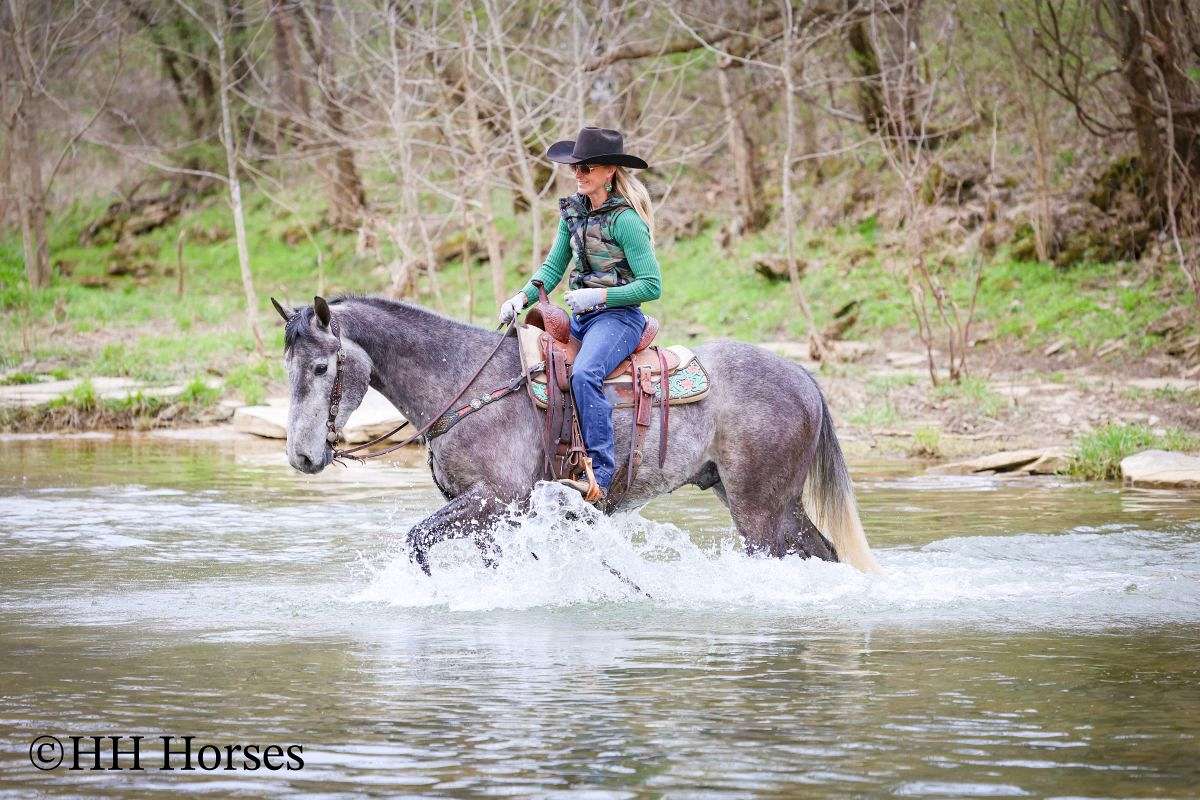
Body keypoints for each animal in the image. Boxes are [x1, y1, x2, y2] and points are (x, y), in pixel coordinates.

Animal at [273, 294, 881, 575]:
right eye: (287, 367)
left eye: (323, 367)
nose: (302, 456)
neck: (466, 381)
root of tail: (800, 375)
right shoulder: (484, 512)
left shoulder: (496, 499)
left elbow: (418, 539)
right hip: (764, 502)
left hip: (761, 510)